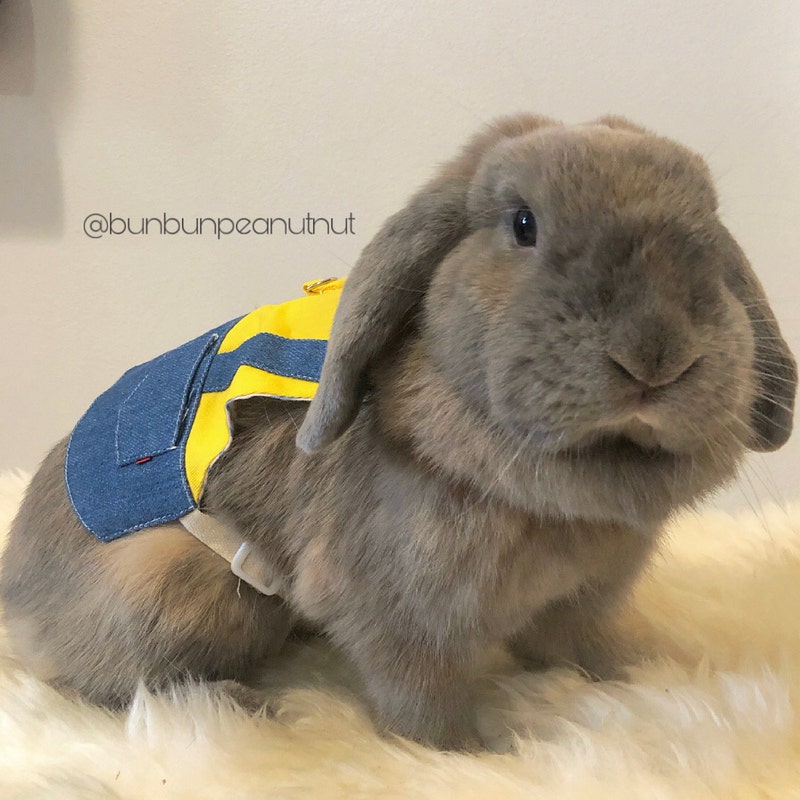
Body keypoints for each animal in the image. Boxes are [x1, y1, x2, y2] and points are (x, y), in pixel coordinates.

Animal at [0, 113, 795, 751]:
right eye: (523, 224)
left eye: (708, 226)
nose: (656, 357)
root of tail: (17, 595)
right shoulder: (402, 618)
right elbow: (420, 700)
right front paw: (470, 756)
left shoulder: (584, 598)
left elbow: (583, 650)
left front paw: (644, 676)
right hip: (168, 586)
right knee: (111, 685)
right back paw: (242, 705)